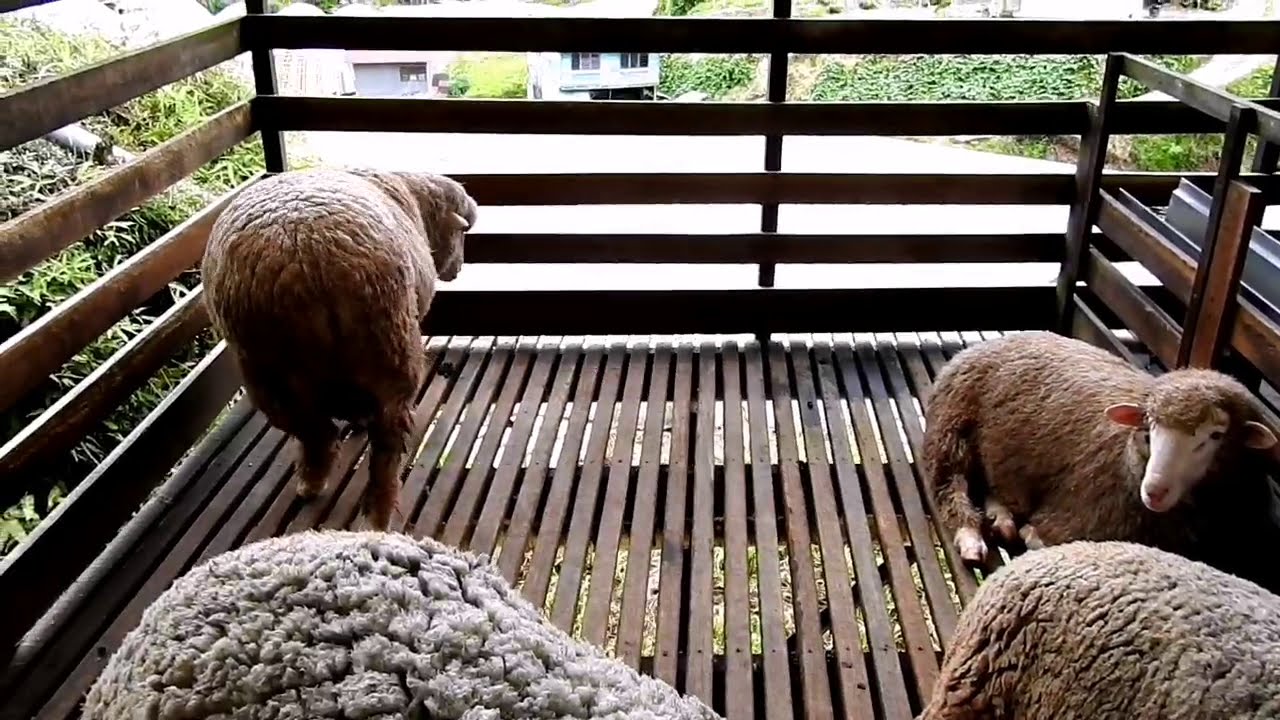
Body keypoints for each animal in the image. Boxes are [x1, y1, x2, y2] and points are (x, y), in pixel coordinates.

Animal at [201, 168, 477, 531]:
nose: (458, 269)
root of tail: (307, 257)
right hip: (392, 350)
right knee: (384, 443)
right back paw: (376, 513)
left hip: (266, 370)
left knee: (314, 430)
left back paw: (312, 482)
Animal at [922, 330, 1278, 578]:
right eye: (1149, 427)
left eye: (1216, 435)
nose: (1154, 491)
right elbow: (1038, 536)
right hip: (951, 430)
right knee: (951, 484)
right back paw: (971, 536)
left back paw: (1001, 517)